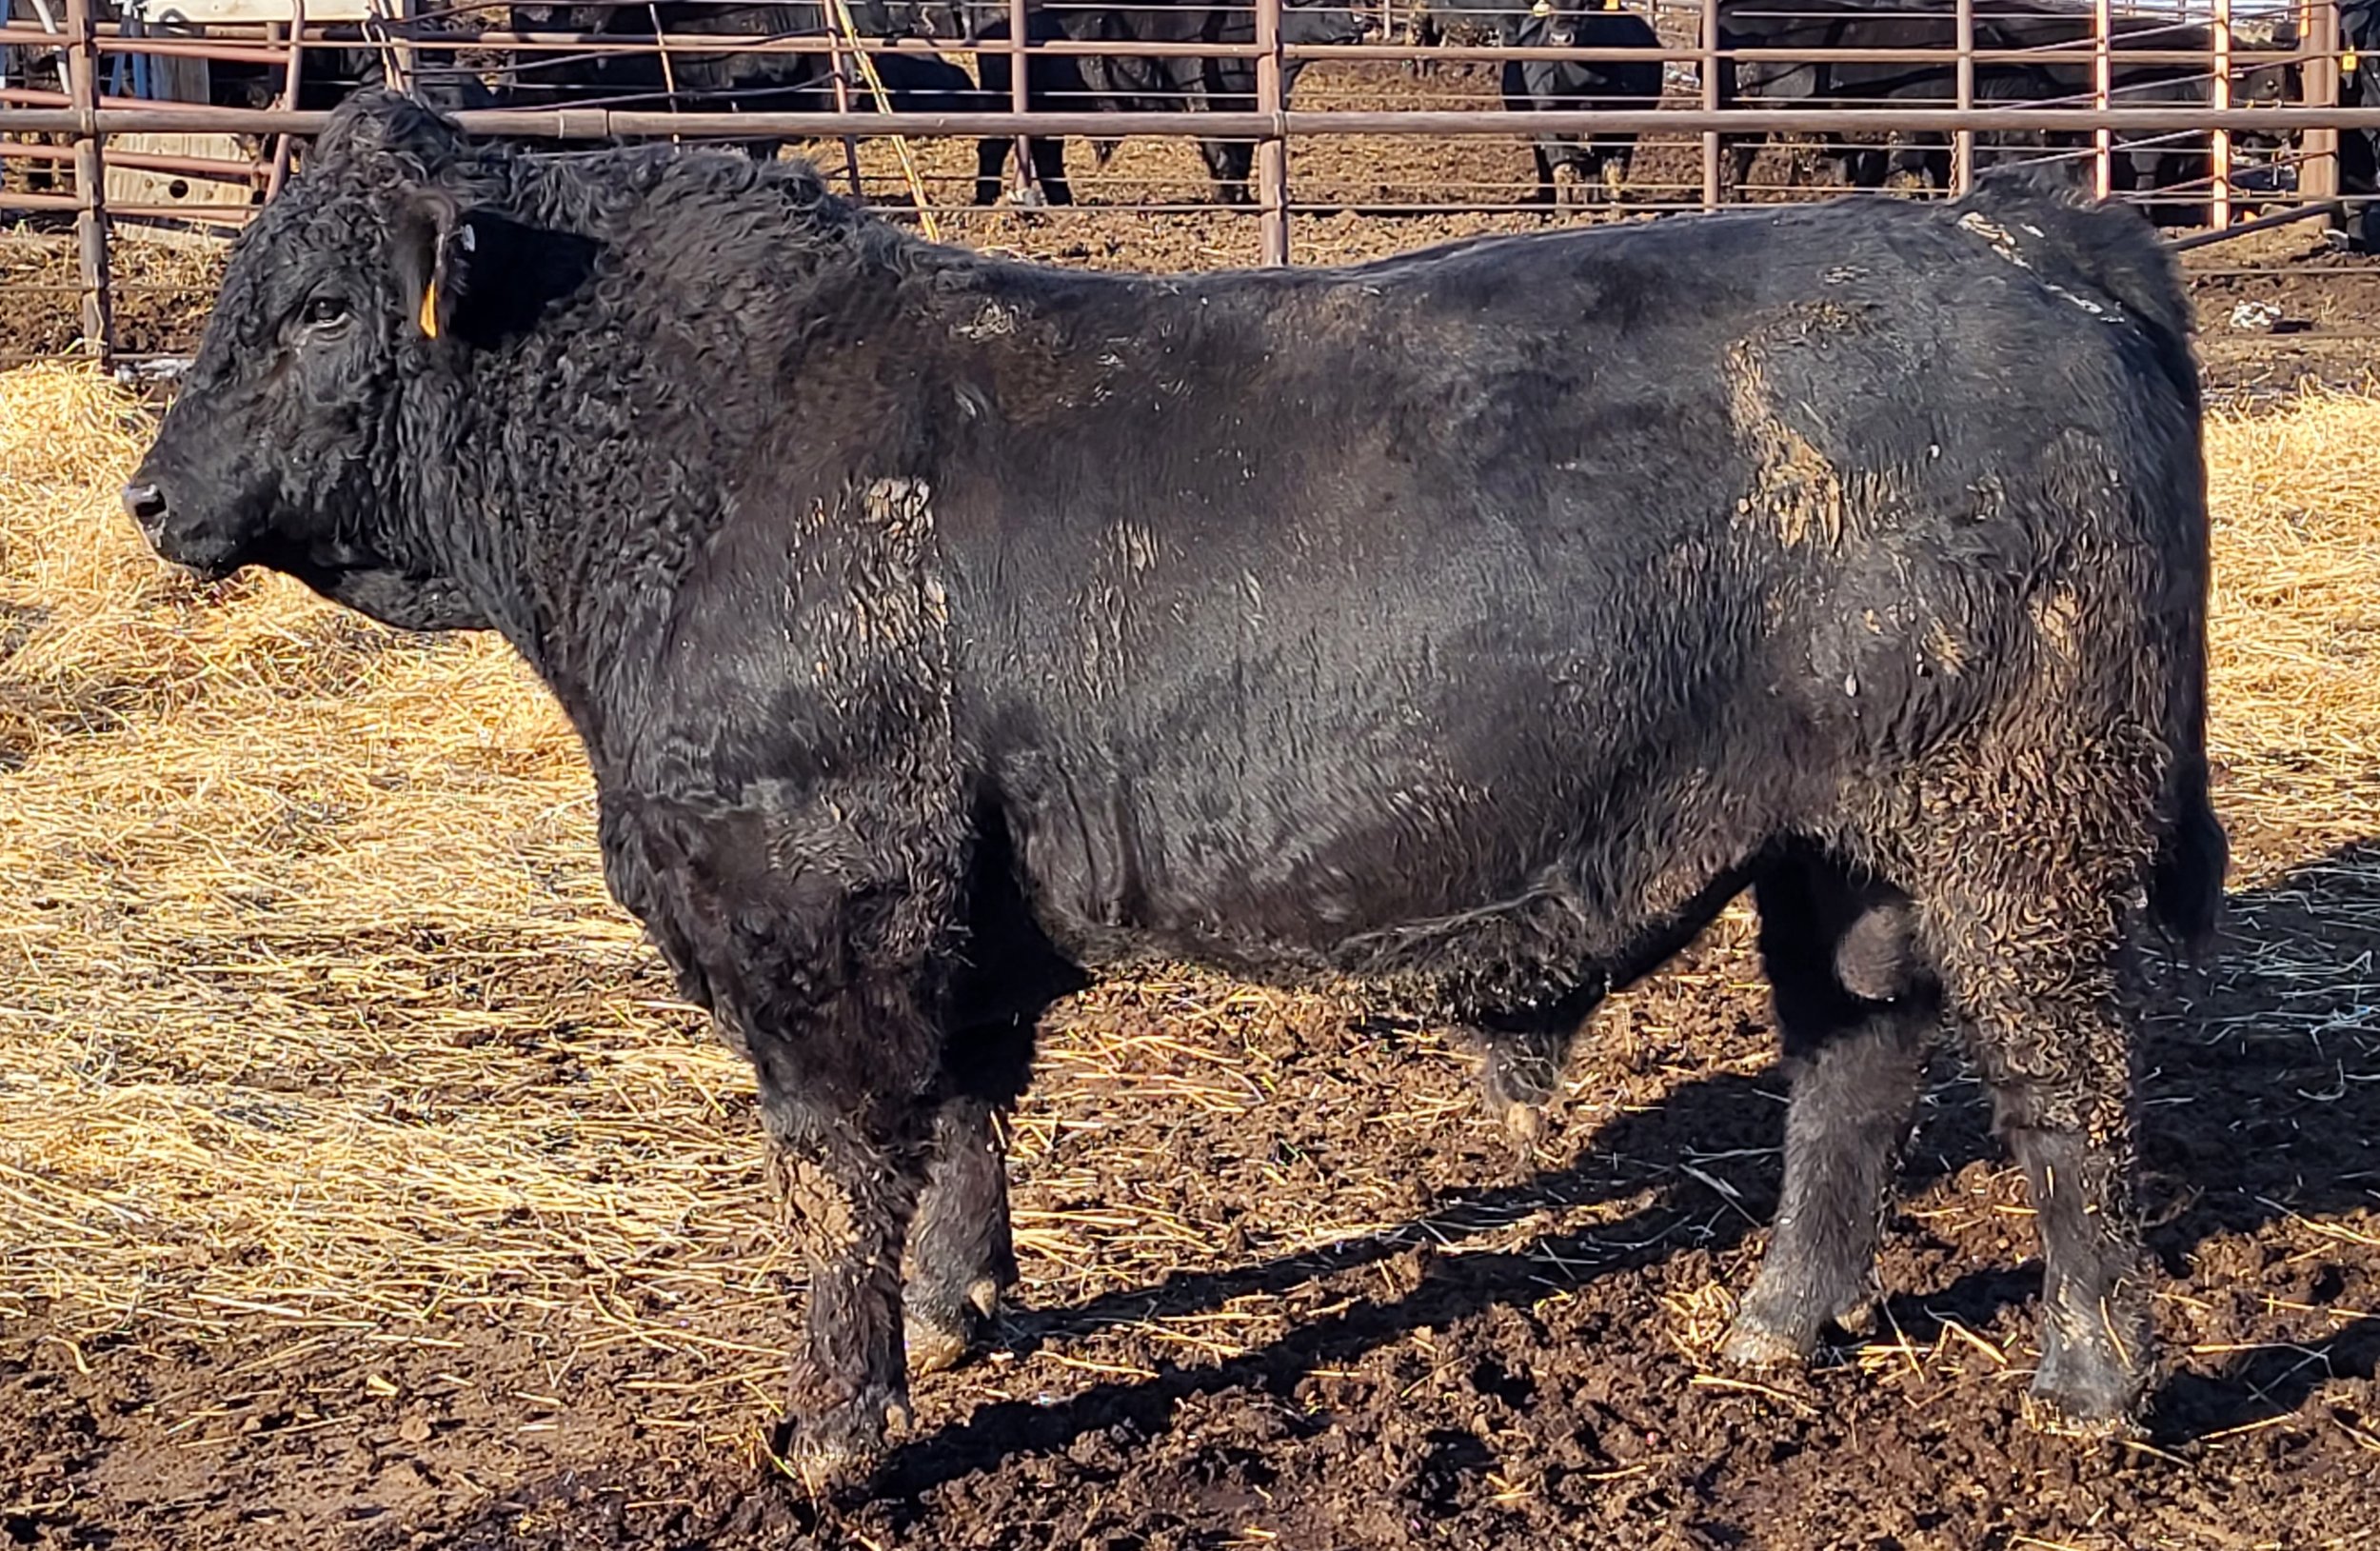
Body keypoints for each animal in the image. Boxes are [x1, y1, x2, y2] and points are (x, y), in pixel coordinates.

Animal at [125, 90, 2224, 1491]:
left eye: (318, 311)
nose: (147, 492)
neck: (701, 449)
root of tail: (2021, 234)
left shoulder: (815, 902)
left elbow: (834, 1165)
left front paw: (835, 1428)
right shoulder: (946, 897)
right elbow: (962, 1111)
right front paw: (958, 1306)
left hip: (2017, 823)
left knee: (2067, 1082)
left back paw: (2090, 1377)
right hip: (1835, 844)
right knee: (1851, 1056)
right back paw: (1778, 1319)